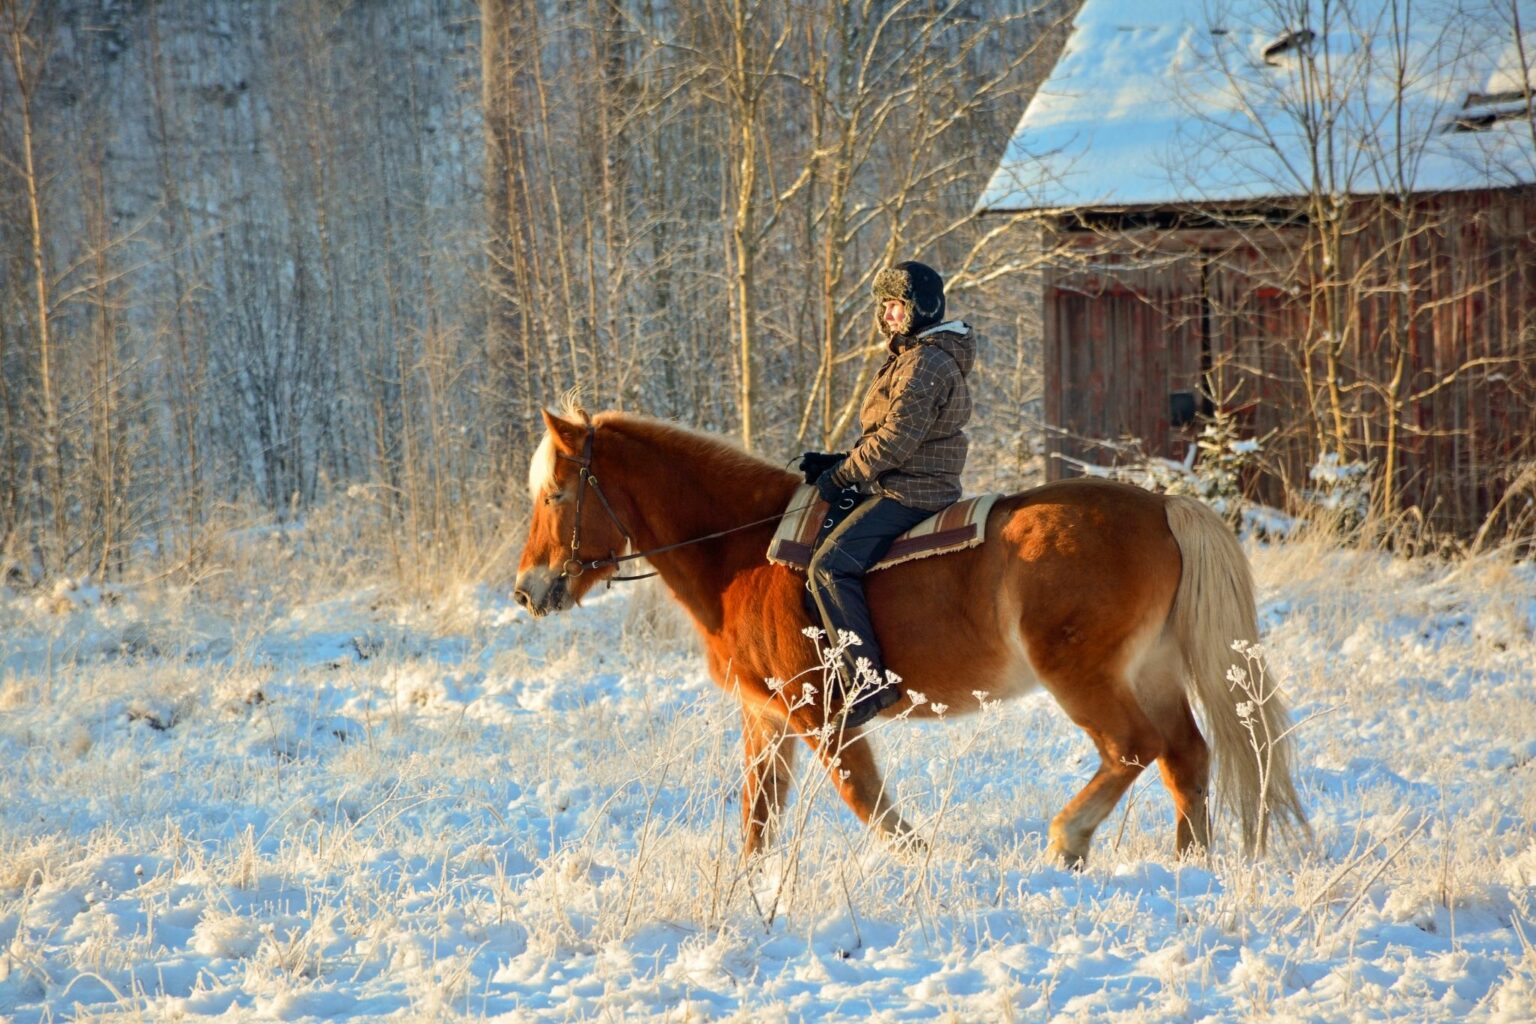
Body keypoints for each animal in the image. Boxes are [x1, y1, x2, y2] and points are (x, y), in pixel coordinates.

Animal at [513, 406, 1306, 866]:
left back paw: (1070, 838)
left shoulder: (823, 716)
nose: (528, 589)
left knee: (1134, 748)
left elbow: (865, 799)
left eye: (555, 493)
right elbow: (757, 816)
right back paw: (1187, 865)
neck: (741, 554)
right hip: (1152, 670)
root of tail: (1162, 506)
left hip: (1085, 675)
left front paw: (926, 862)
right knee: (1185, 756)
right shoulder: (766, 718)